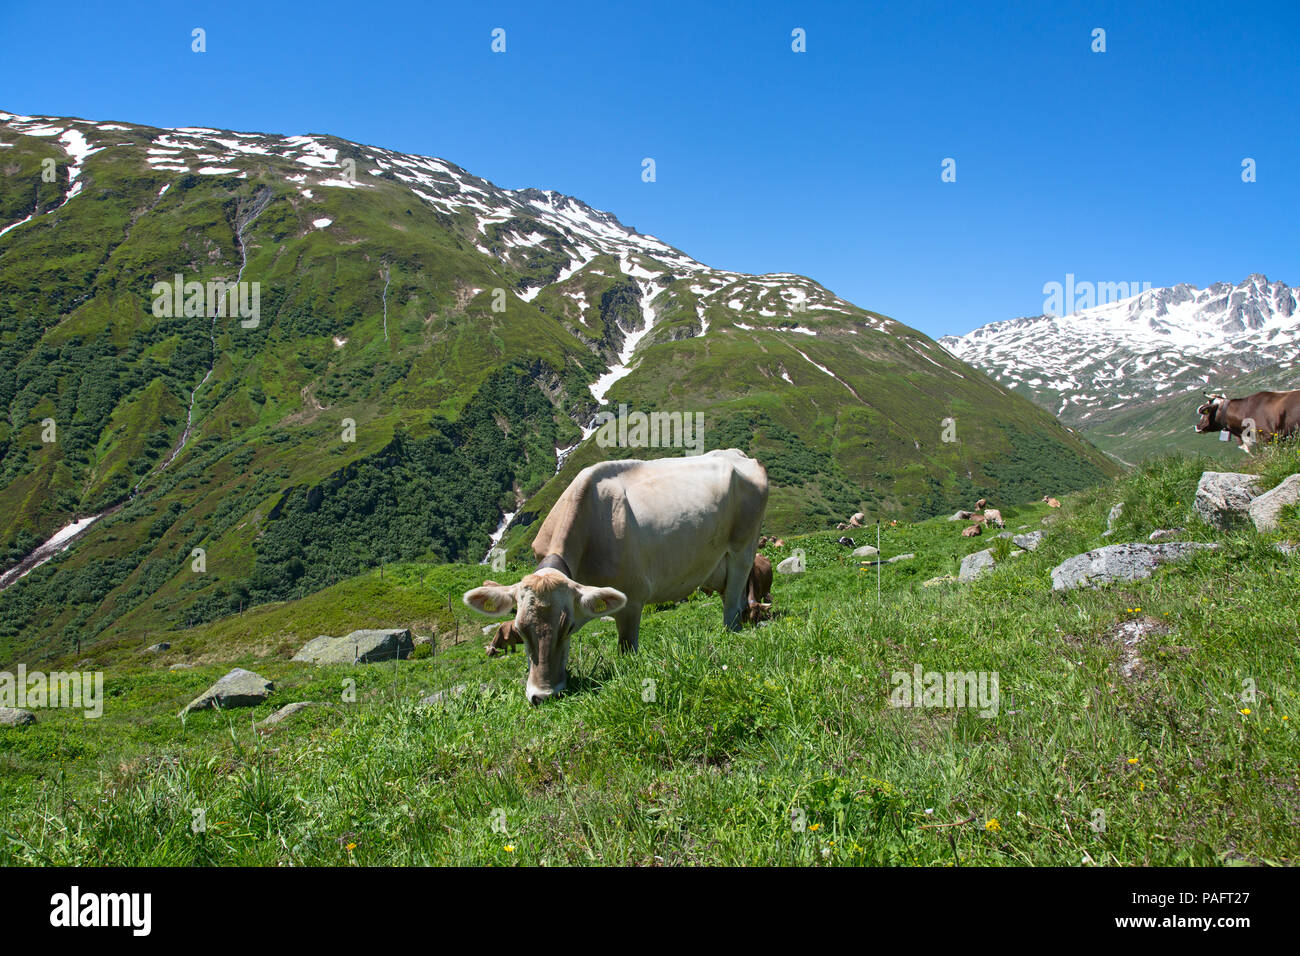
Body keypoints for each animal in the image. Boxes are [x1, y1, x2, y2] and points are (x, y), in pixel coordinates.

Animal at [463, 449, 769, 704]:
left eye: (569, 627)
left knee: (732, 606)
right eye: (519, 629)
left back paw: (729, 633)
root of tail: (738, 454)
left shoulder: (632, 598)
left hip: (742, 550)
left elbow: (626, 650)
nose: (543, 696)